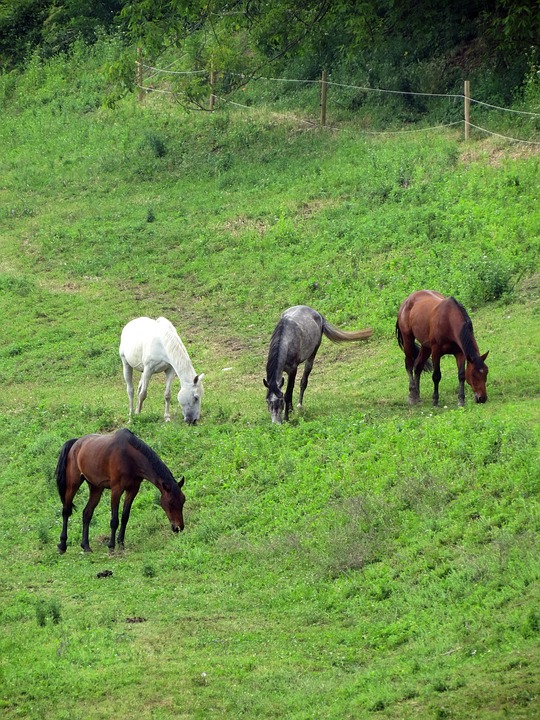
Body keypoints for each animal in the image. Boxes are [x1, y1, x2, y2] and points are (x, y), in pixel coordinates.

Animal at [55, 428, 185, 553]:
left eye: (183, 501)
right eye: (171, 503)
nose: (179, 528)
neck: (129, 457)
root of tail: (76, 443)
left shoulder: (132, 490)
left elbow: (124, 517)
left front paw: (121, 544)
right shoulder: (116, 490)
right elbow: (114, 520)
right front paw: (111, 546)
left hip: (96, 488)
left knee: (87, 513)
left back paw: (86, 546)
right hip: (73, 484)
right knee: (66, 511)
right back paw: (62, 545)